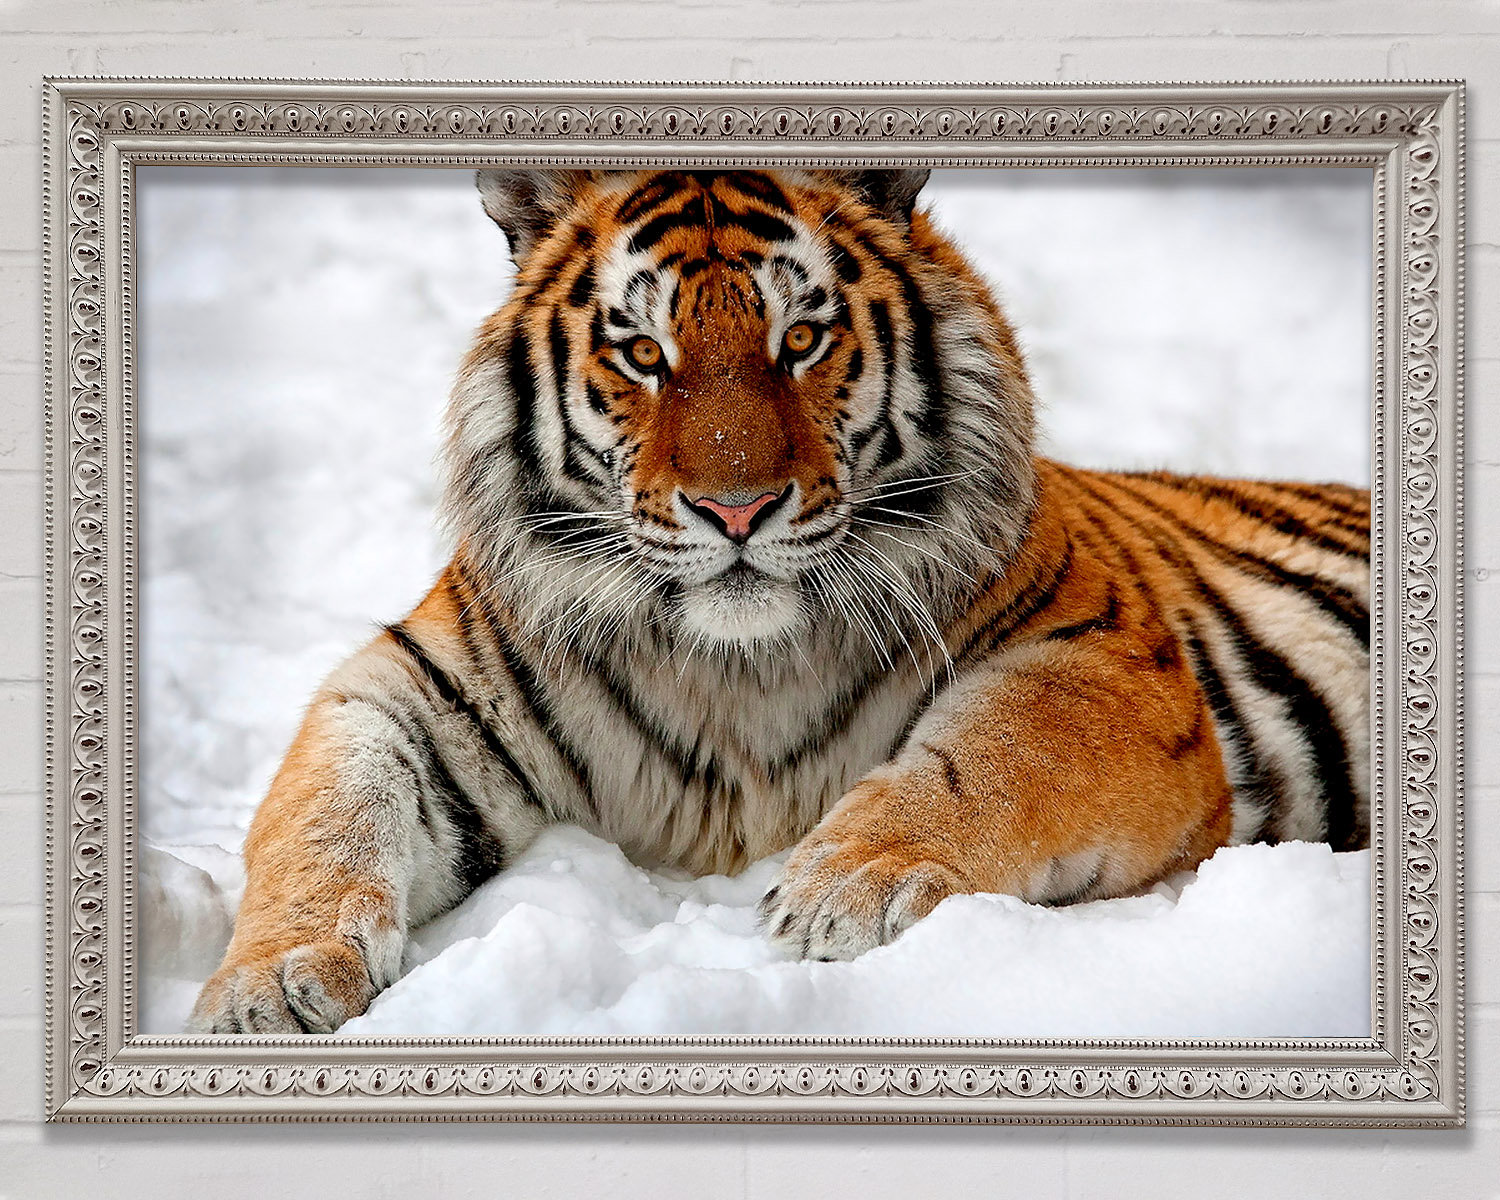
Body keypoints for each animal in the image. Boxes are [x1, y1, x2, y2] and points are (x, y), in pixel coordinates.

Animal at [188, 167, 1370, 1034]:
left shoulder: (1105, 659)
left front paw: (846, 887)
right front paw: (267, 986)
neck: (735, 668)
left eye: (800, 338)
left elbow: (990, 758)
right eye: (643, 352)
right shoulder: (413, 691)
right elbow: (326, 817)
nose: (737, 507)